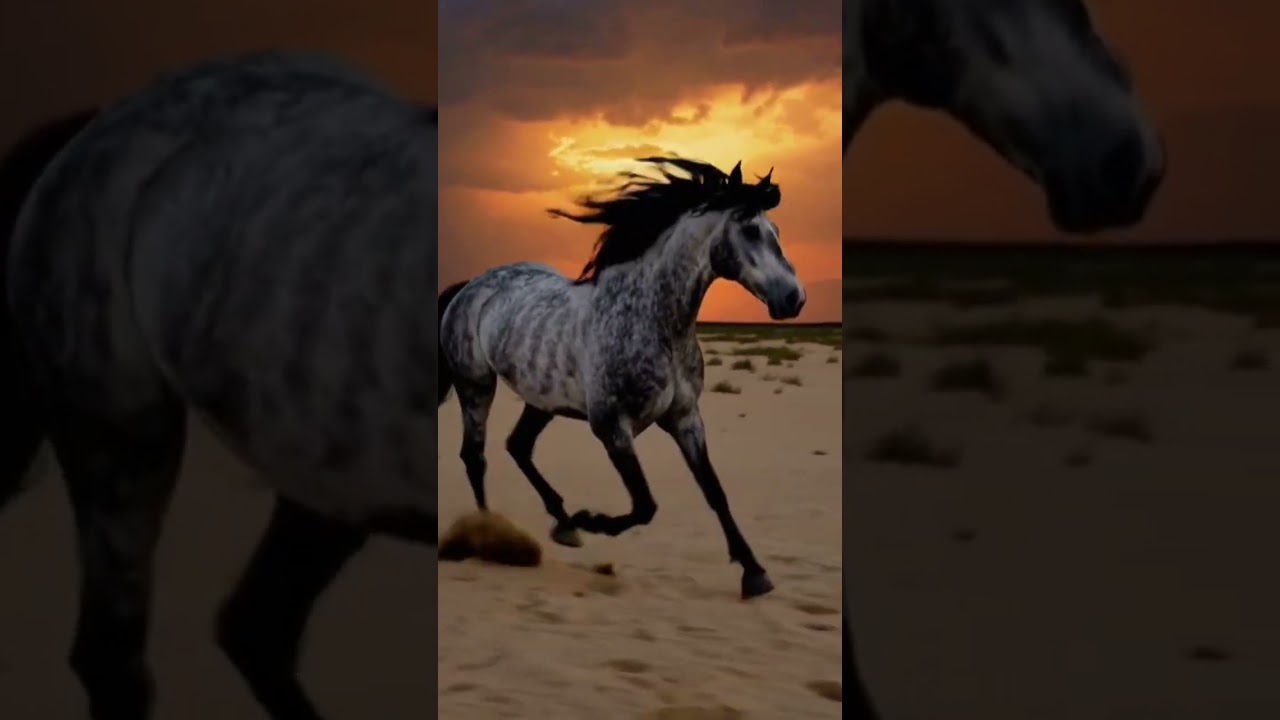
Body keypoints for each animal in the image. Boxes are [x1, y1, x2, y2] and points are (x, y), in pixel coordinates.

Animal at [437, 157, 804, 601]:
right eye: (750, 230)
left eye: (777, 232)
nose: (793, 299)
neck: (653, 322)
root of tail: (470, 286)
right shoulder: (612, 427)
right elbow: (645, 505)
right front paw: (592, 519)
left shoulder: (685, 418)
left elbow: (714, 491)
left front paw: (754, 572)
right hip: (476, 386)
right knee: (475, 456)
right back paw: (491, 534)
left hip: (542, 399)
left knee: (518, 446)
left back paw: (563, 525)